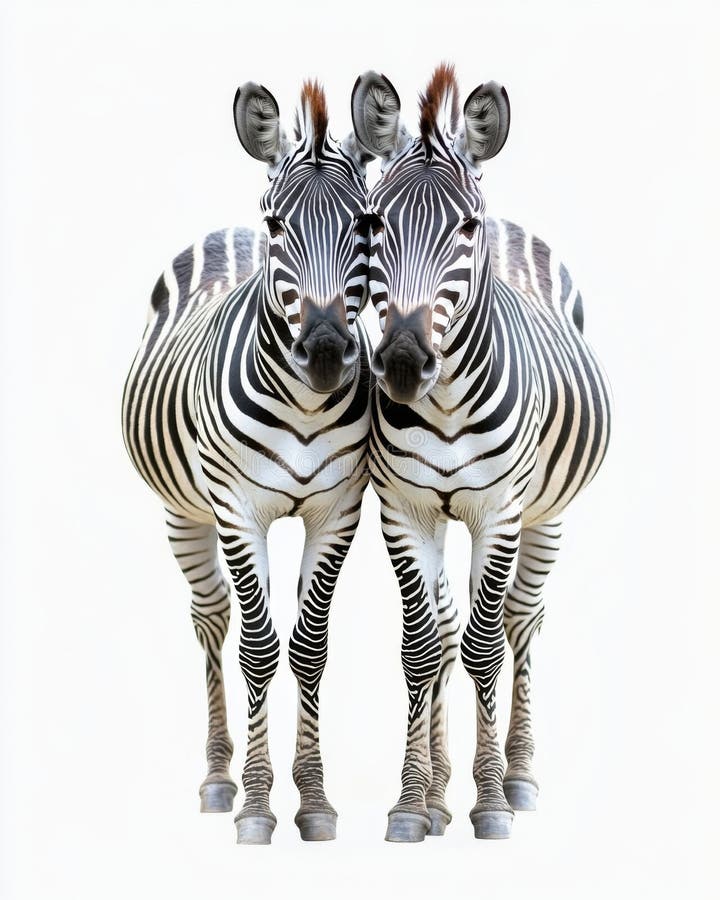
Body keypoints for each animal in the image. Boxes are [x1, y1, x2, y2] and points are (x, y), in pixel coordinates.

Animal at [122, 79, 374, 844]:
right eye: (278, 226)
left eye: (365, 226)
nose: (324, 353)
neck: (305, 406)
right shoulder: (238, 510)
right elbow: (258, 648)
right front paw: (259, 805)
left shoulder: (337, 511)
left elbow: (309, 648)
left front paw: (313, 800)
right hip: (184, 510)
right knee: (211, 619)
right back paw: (216, 776)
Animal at [350, 64, 612, 842]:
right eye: (374, 223)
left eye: (464, 227)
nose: (404, 363)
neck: (442, 408)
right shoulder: (404, 512)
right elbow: (423, 650)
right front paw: (414, 805)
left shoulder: (500, 512)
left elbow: (483, 647)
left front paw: (490, 801)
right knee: (446, 629)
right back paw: (441, 794)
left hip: (545, 515)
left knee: (520, 623)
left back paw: (519, 775)